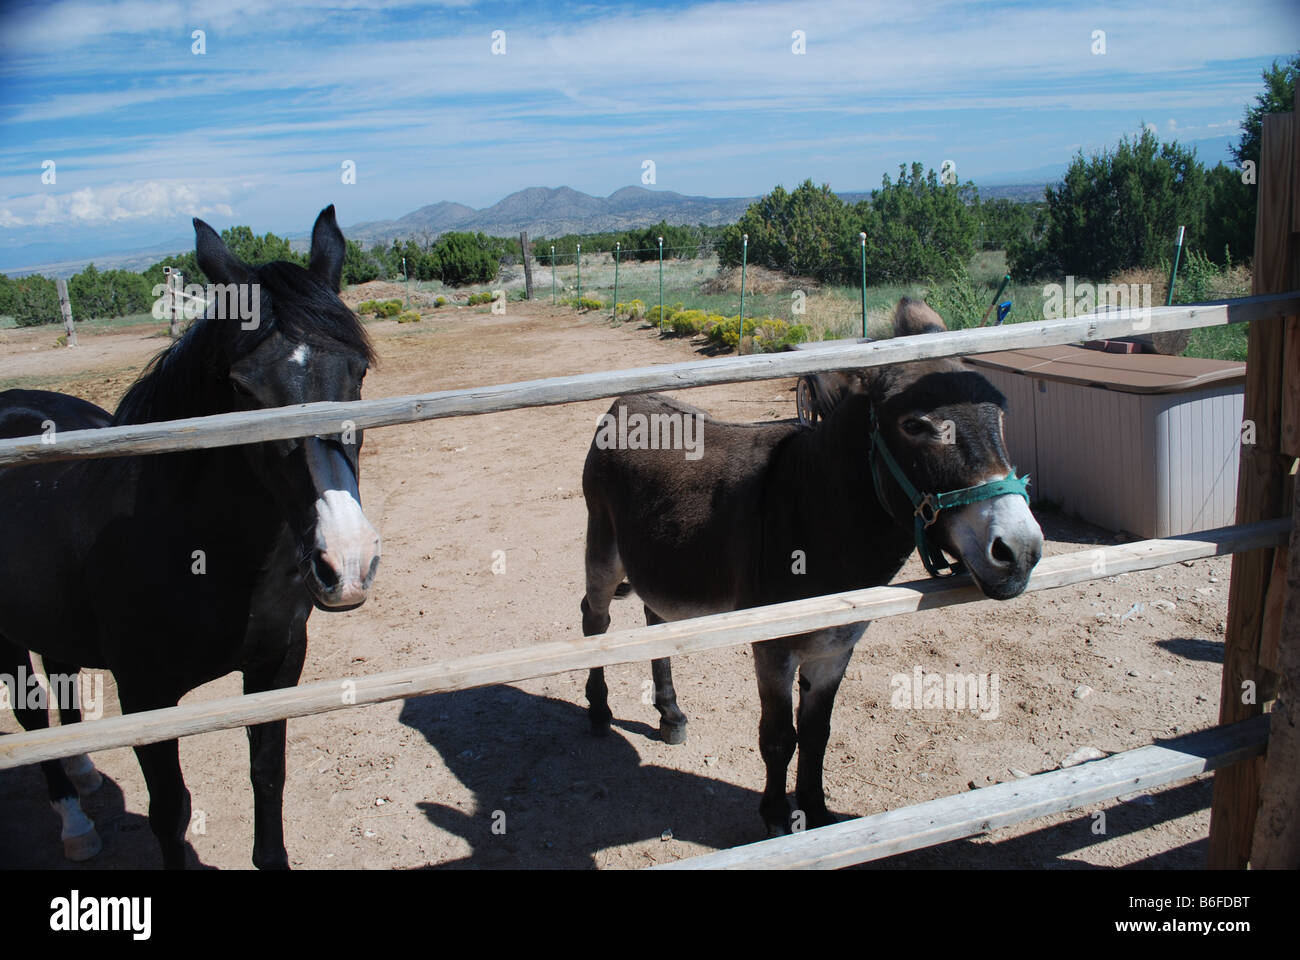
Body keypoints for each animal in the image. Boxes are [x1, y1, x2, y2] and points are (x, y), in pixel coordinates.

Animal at [0, 205, 381, 868]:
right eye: (245, 388)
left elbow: (269, 776)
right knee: (30, 718)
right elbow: (170, 811)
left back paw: (84, 775)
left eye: (356, 372)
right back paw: (74, 822)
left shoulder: (277, 667)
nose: (347, 563)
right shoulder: (145, 695)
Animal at [578, 298, 1043, 835]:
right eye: (915, 426)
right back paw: (598, 710)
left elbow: (818, 733)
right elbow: (780, 737)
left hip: (662, 563)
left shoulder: (834, 648)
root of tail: (628, 401)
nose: (1021, 551)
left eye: (999, 416)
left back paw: (671, 715)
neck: (819, 513)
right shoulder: (774, 648)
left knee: (656, 620)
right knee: (594, 619)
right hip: (603, 549)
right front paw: (777, 821)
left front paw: (818, 815)